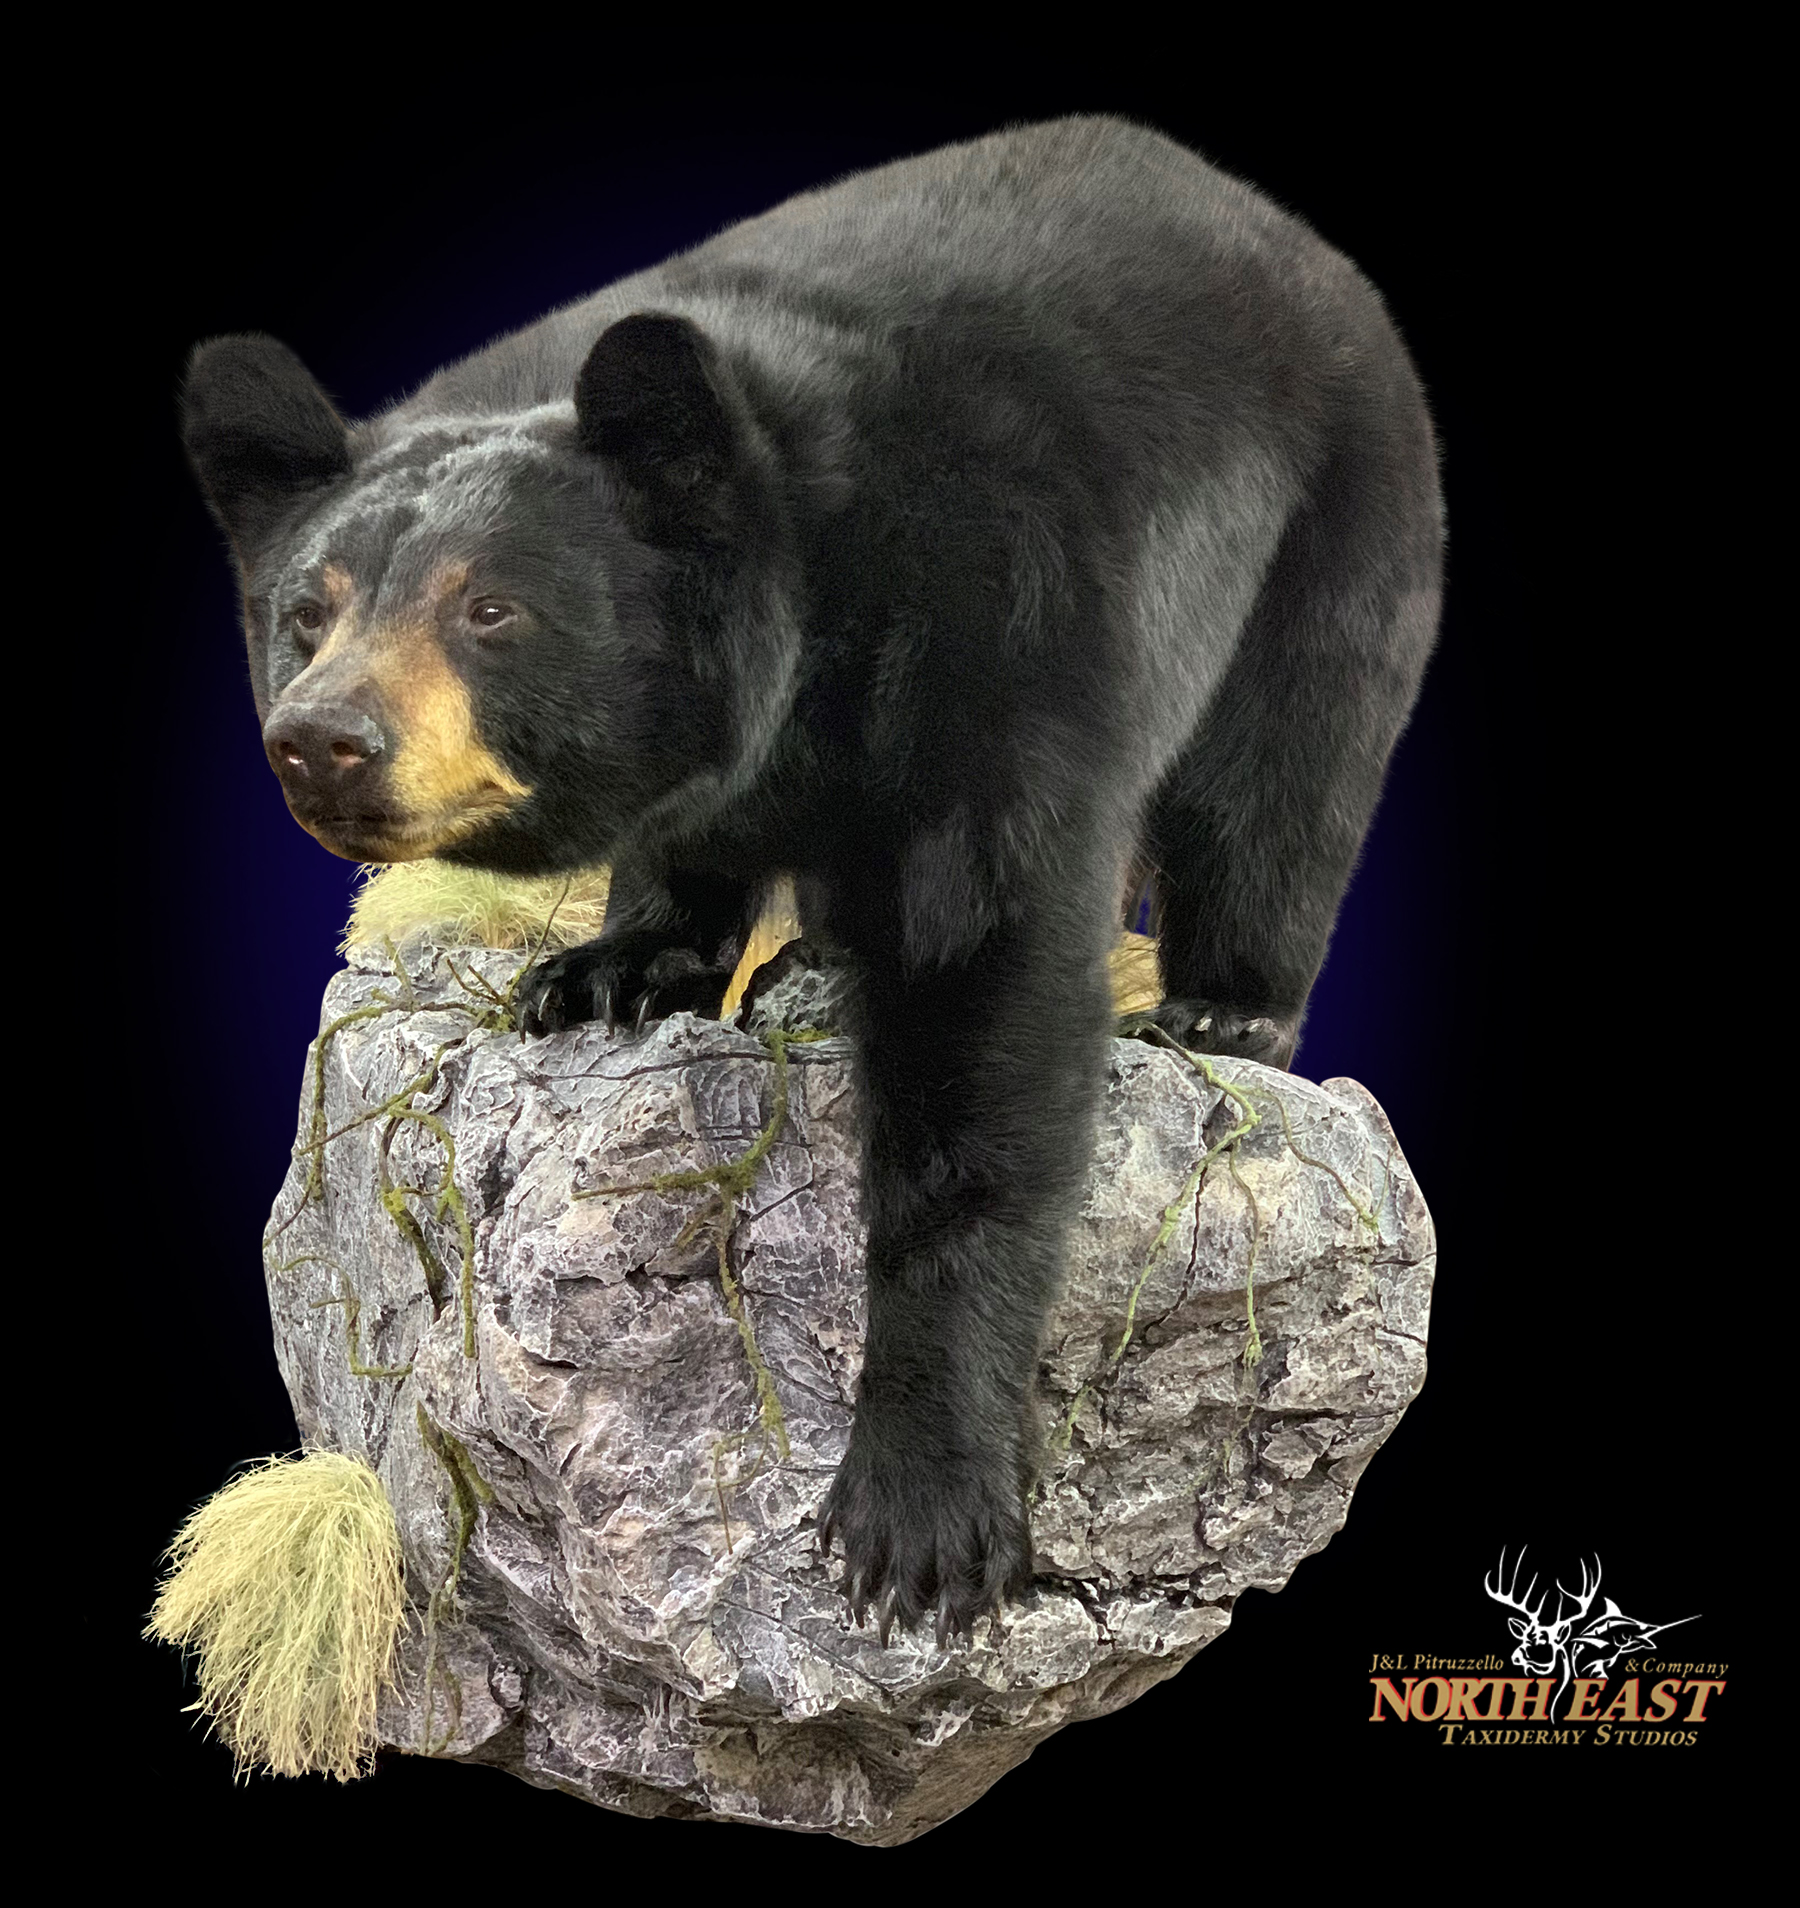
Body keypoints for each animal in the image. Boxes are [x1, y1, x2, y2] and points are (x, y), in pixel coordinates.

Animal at [182, 116, 1442, 1648]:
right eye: (307, 611)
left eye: (490, 608)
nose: (321, 738)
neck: (816, 566)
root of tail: (1282, 232)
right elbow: (690, 851)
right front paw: (611, 965)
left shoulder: (997, 634)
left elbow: (987, 1005)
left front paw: (920, 1516)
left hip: (1337, 519)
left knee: (1284, 768)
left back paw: (1222, 1005)